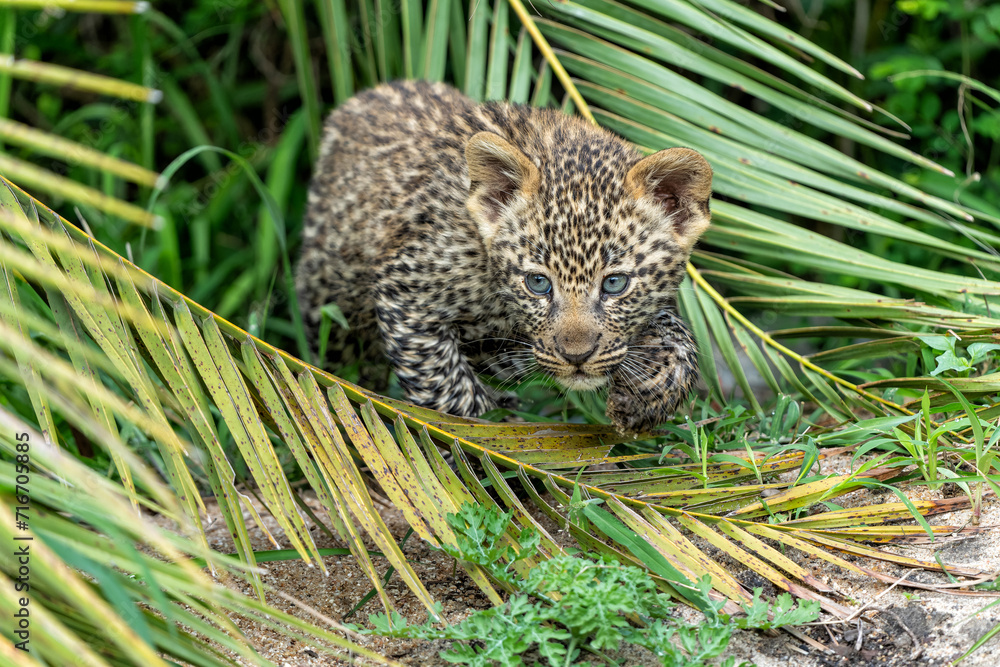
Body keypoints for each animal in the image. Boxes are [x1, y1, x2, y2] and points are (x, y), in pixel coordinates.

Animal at [295, 80, 713, 435]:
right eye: (538, 283)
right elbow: (447, 389)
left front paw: (652, 391)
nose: (576, 356)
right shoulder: (406, 291)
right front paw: (486, 446)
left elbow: (677, 332)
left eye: (614, 283)